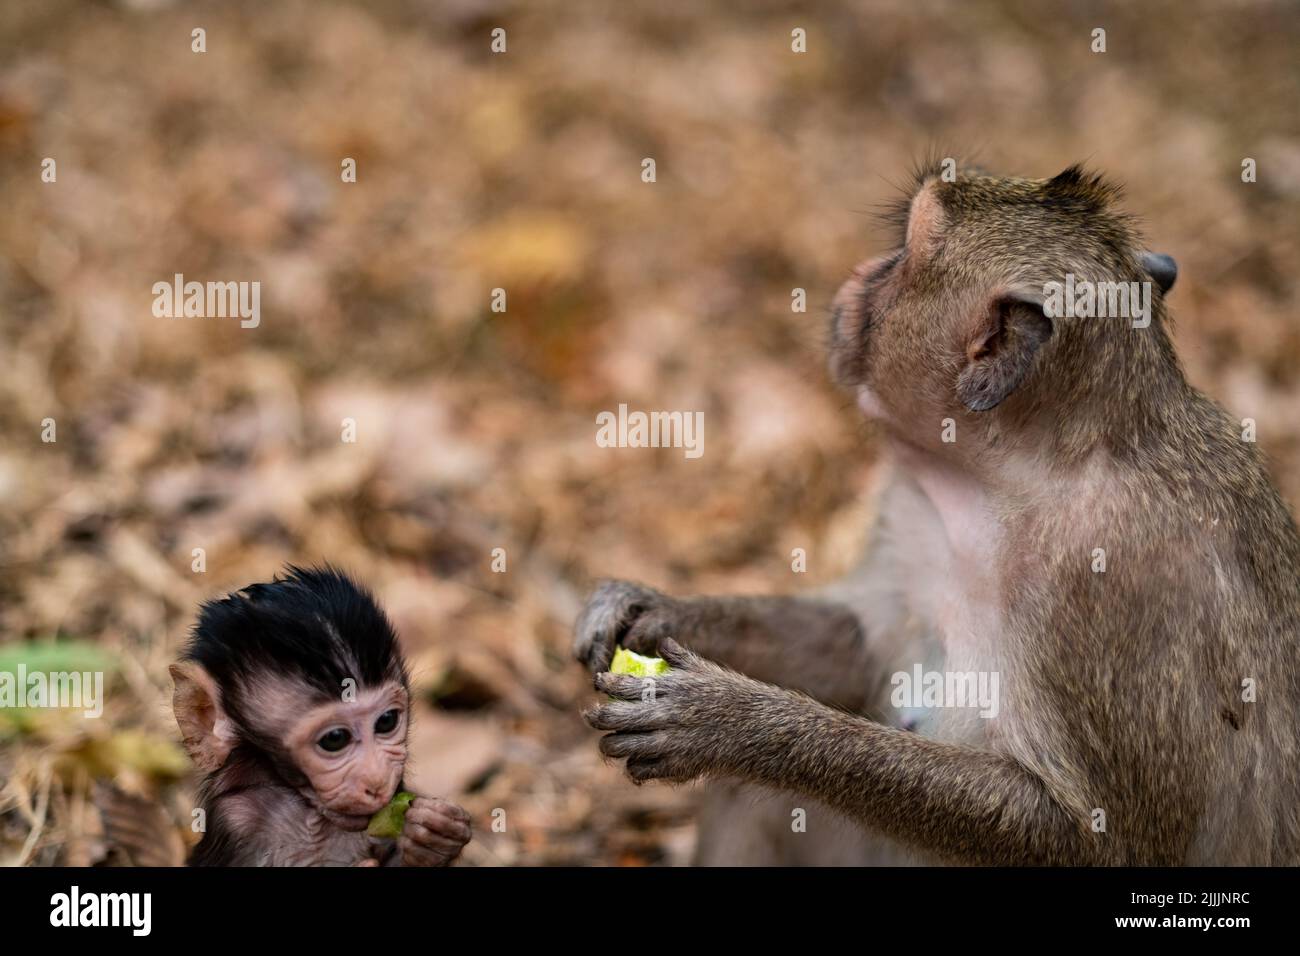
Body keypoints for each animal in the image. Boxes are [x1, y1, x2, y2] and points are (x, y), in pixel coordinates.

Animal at [171, 565, 473, 866]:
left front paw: (434, 841)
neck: (310, 816)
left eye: (387, 721)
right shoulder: (235, 820)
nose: (377, 781)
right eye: (335, 738)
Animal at [575, 162, 1300, 866]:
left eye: (904, 253)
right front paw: (654, 609)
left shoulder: (1112, 583)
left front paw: (735, 724)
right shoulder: (915, 504)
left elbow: (1102, 839)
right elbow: (859, 645)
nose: (862, 274)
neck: (1011, 481)